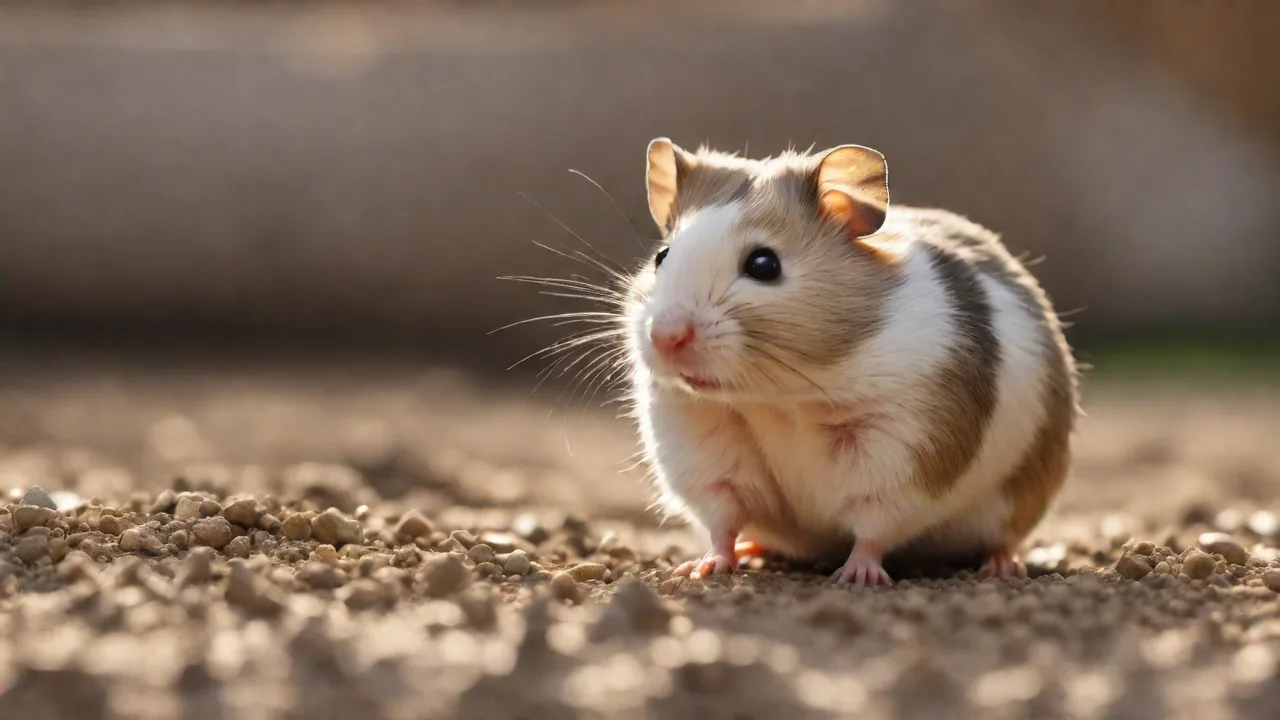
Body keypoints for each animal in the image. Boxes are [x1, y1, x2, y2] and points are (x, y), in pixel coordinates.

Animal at [623, 138, 1079, 585]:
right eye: (662, 256)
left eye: (764, 265)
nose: (665, 337)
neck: (779, 397)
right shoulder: (701, 446)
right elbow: (722, 520)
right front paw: (701, 569)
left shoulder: (902, 456)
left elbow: (873, 526)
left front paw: (857, 577)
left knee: (1003, 538)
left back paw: (1002, 567)